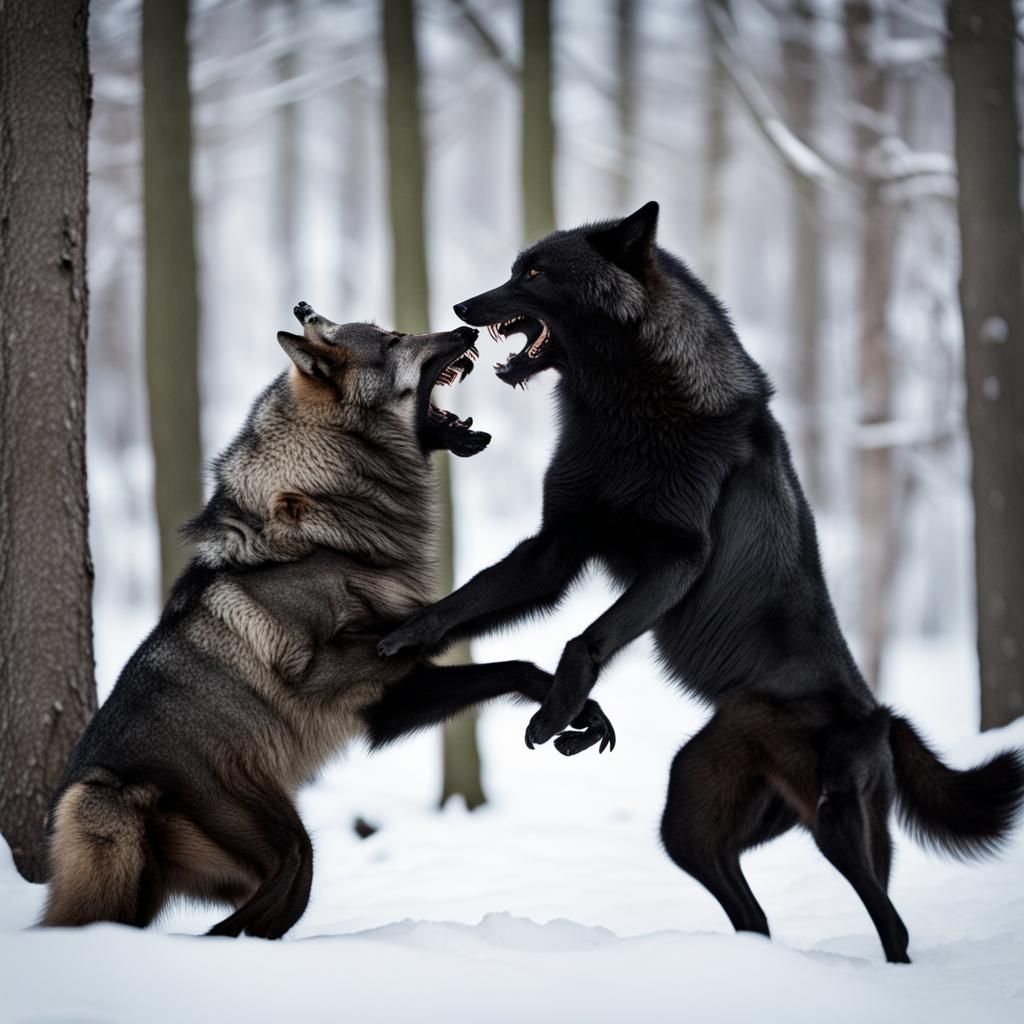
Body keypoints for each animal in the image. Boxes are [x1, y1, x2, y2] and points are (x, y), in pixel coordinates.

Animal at [42, 303, 614, 938]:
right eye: (394, 340)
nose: (465, 329)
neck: (325, 525)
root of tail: (92, 789)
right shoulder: (327, 671)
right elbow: (428, 632)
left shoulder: (384, 704)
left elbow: (507, 661)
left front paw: (571, 705)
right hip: (263, 825)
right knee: (276, 884)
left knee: (279, 894)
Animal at [379, 202, 1024, 963]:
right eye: (512, 270)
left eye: (533, 275)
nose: (462, 310)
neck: (628, 408)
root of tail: (881, 714)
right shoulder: (555, 549)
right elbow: (470, 597)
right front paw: (403, 636)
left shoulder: (679, 557)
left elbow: (584, 640)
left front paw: (558, 714)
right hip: (690, 822)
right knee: (757, 913)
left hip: (833, 827)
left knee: (891, 923)